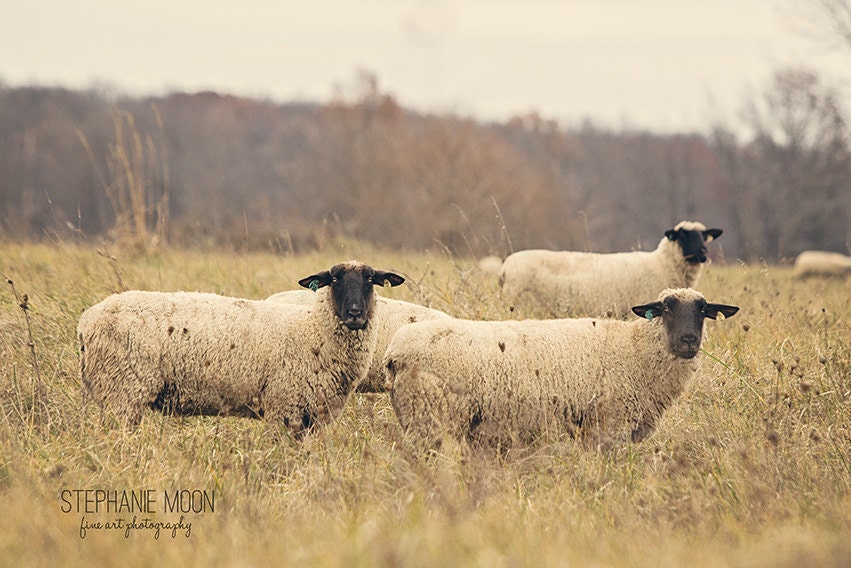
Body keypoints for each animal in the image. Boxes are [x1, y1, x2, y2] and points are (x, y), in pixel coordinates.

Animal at [77, 261, 404, 435]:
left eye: (371, 280)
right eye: (335, 279)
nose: (355, 313)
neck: (312, 330)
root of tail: (87, 321)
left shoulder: (311, 416)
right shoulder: (284, 407)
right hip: (122, 391)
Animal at [385, 287, 738, 450]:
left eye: (703, 310)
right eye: (665, 308)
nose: (688, 340)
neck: (635, 348)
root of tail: (396, 350)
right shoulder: (608, 425)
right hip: (429, 418)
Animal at [498, 221, 723, 318]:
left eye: (705, 236)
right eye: (683, 235)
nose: (703, 253)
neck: (661, 264)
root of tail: (505, 267)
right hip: (513, 298)